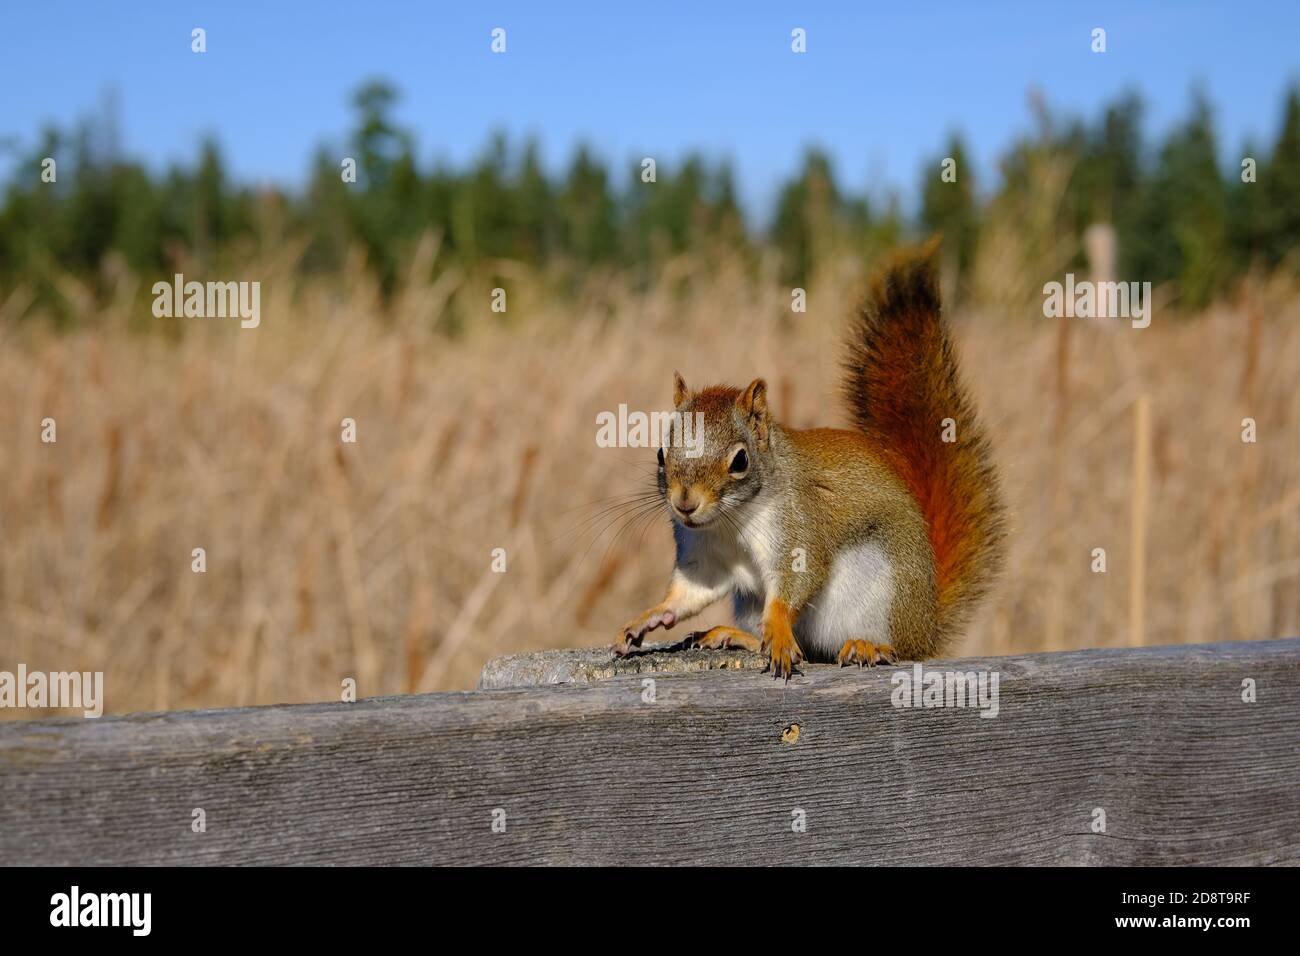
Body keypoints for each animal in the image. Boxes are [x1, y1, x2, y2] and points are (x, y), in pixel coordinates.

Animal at [613, 241, 1006, 679]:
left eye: (740, 461)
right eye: (661, 454)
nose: (685, 503)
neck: (731, 521)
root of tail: (926, 626)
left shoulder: (798, 523)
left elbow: (794, 585)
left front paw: (780, 633)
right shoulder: (703, 552)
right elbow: (692, 590)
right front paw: (648, 617)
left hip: (883, 594)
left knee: (897, 648)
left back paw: (870, 646)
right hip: (749, 602)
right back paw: (736, 636)